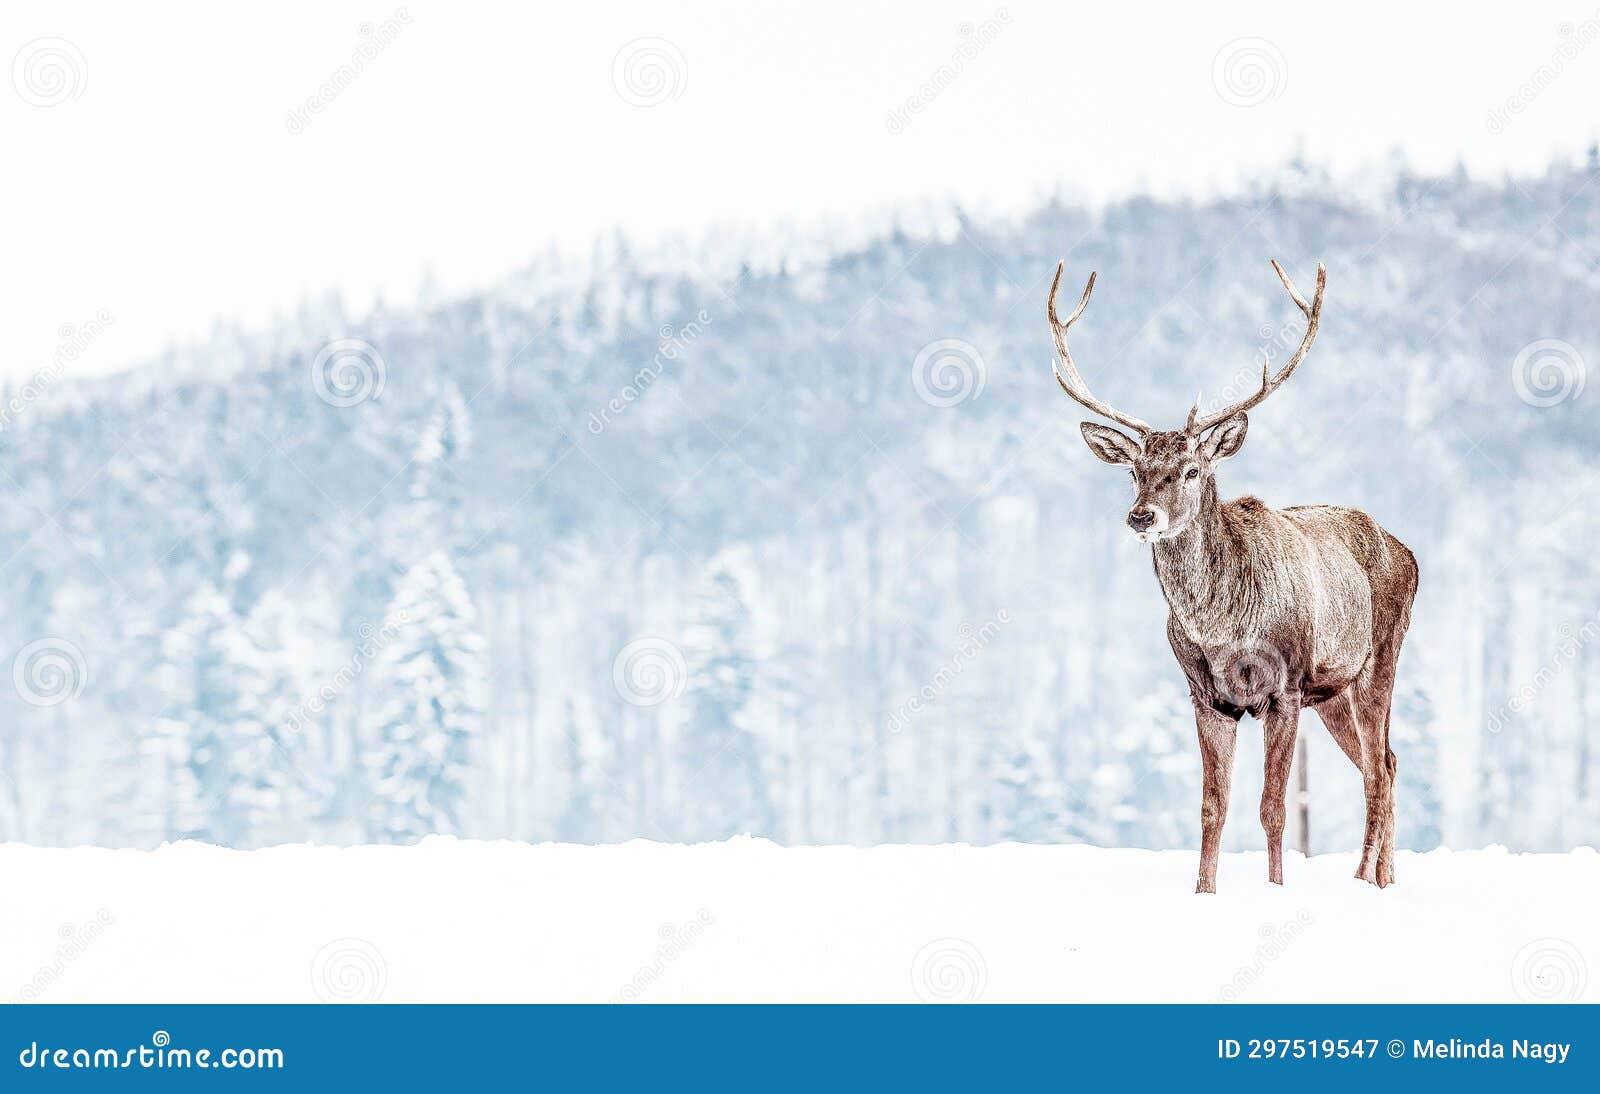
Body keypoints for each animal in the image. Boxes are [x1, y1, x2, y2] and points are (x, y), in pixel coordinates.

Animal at [1047, 259, 1418, 893]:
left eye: (1192, 469)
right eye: (1135, 471)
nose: (1142, 516)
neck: (1221, 626)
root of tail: (1409, 553)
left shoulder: (1285, 687)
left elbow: (1273, 807)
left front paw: (1275, 889)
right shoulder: (1205, 694)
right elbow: (1211, 807)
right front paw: (1204, 892)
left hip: (1377, 661)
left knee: (1380, 768)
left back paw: (1371, 882)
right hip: (1333, 694)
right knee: (1385, 764)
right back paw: (1377, 878)